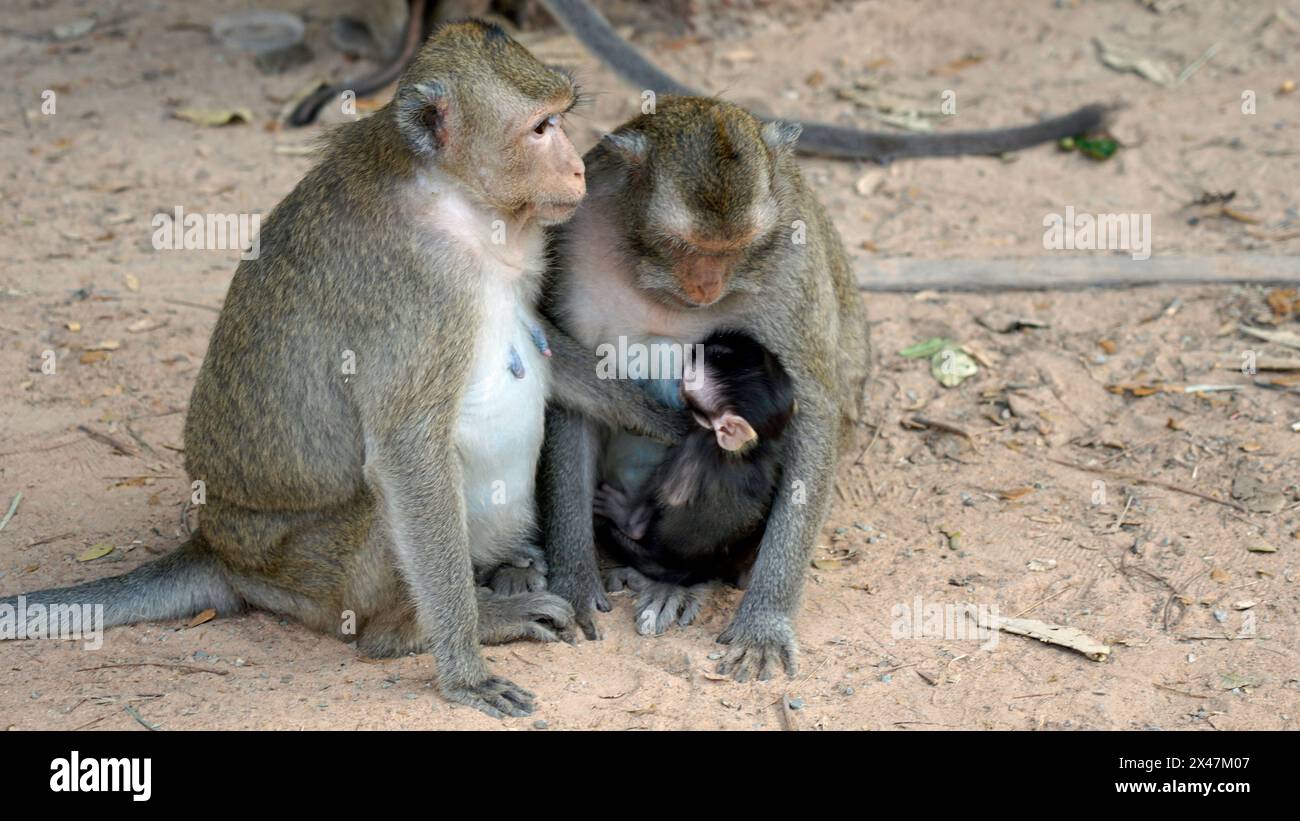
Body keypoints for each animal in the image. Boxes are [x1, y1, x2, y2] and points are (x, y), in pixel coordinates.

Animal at [2, 20, 693, 718]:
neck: (455, 197)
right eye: (540, 127)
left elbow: (547, 346)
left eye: (560, 119)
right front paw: (465, 673)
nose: (577, 167)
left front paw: (671, 425)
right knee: (382, 507)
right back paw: (428, 627)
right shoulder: (414, 291)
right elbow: (407, 452)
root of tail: (215, 542)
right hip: (305, 569)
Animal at [594, 331, 796, 606]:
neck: (751, 449)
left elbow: (669, 495)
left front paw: (629, 516)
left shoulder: (696, 443)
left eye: (688, 380)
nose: (696, 347)